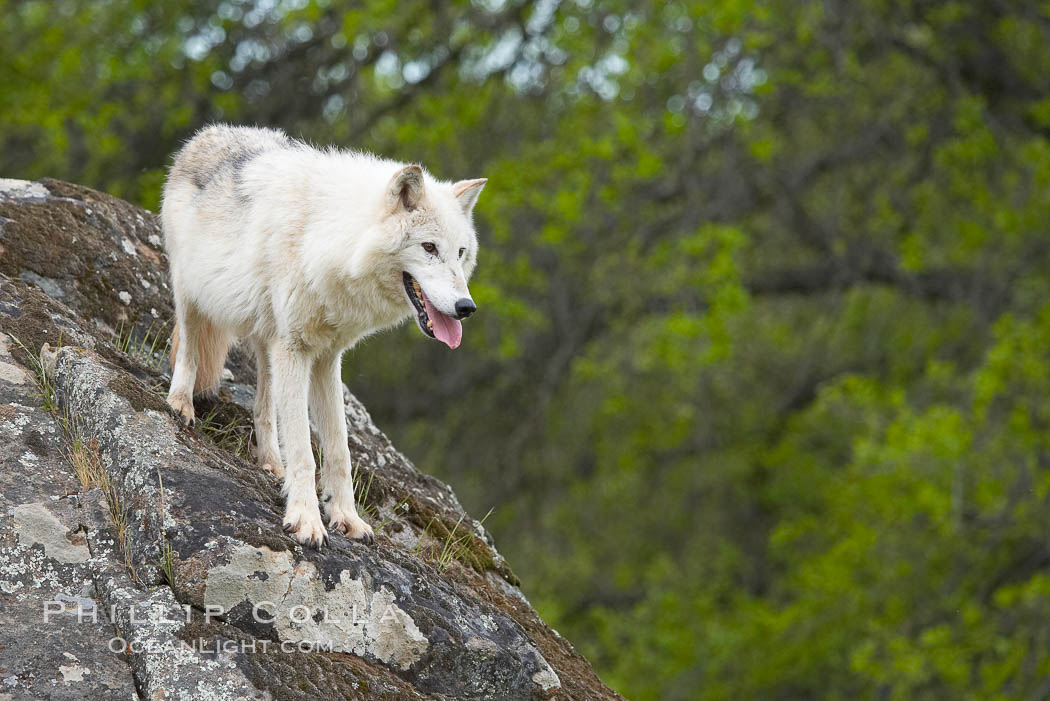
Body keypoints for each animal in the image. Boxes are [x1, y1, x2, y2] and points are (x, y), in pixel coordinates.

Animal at [162, 124, 486, 547]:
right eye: (429, 248)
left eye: (461, 253)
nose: (466, 307)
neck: (329, 239)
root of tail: (209, 133)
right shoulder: (296, 350)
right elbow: (304, 450)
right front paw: (306, 520)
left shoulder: (327, 358)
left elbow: (338, 451)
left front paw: (346, 517)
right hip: (192, 294)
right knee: (188, 350)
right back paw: (180, 404)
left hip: (269, 343)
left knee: (264, 409)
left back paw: (270, 463)